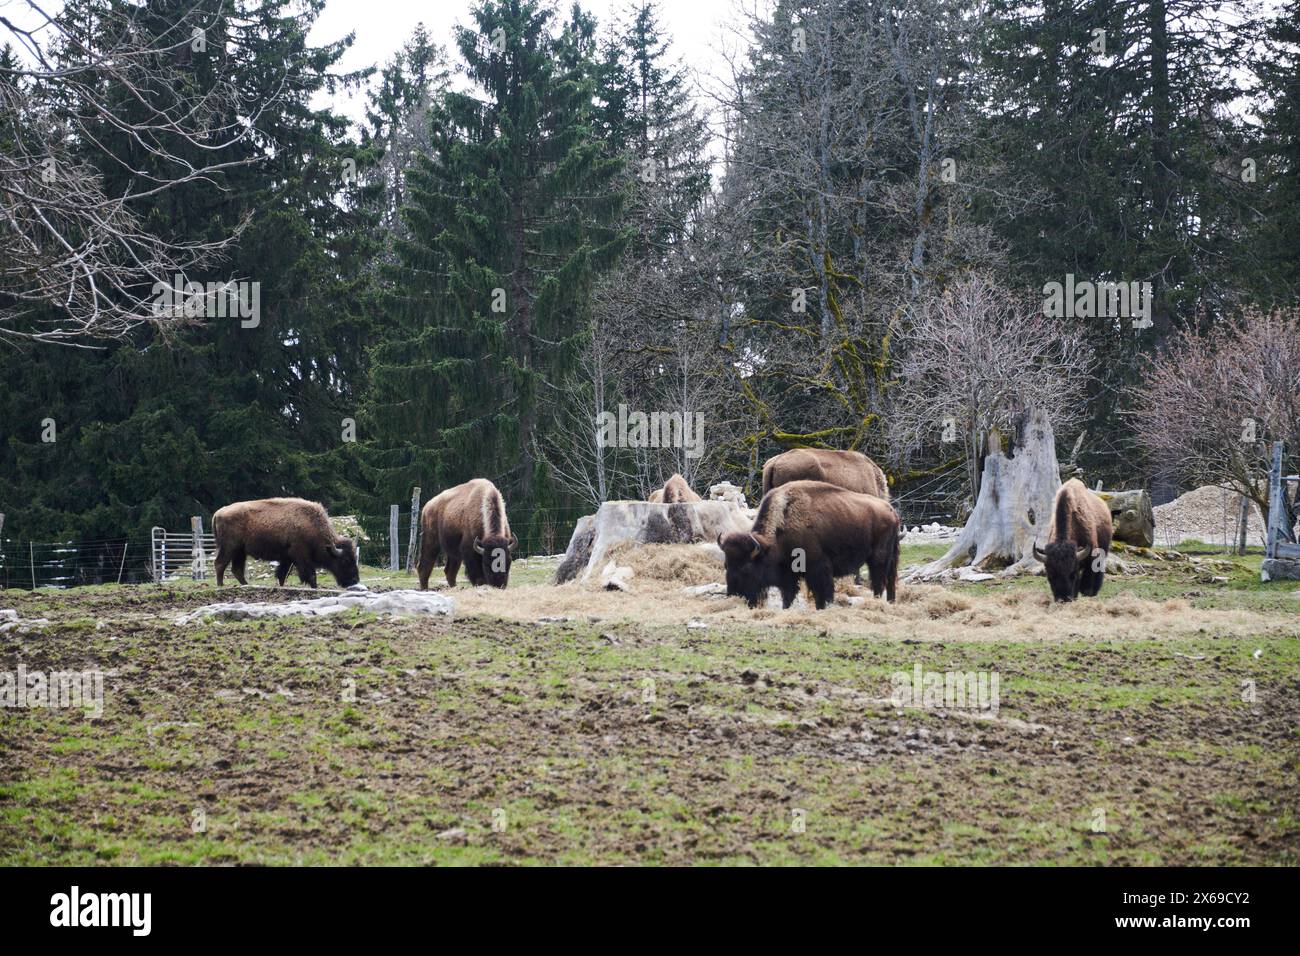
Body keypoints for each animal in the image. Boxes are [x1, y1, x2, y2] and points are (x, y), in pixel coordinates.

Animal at [213, 498, 360, 589]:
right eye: (346, 560)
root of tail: (218, 513)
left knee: (236, 569)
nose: (355, 581)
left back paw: (246, 584)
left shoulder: (287, 558)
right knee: (220, 564)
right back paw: (221, 586)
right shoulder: (301, 556)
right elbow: (311, 575)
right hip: (229, 548)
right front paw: (315, 587)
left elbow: (282, 574)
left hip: (240, 551)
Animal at [717, 479, 899, 609]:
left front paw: (822, 607)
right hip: (891, 557)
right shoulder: (788, 574)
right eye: (726, 565)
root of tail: (890, 510)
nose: (734, 594)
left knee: (879, 581)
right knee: (890, 580)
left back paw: (877, 602)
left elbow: (822, 592)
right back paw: (890, 603)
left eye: (747, 567)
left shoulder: (817, 567)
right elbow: (788, 594)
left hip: (878, 558)